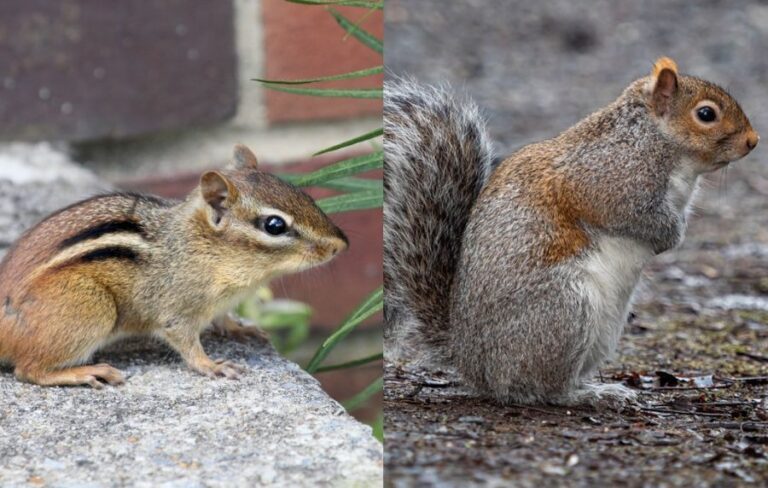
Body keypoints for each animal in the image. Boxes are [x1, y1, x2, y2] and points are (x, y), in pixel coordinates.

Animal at [0, 145, 348, 388]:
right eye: (274, 225)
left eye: (303, 195)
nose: (341, 243)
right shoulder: (177, 309)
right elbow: (187, 344)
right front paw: (212, 366)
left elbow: (223, 318)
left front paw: (241, 328)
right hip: (92, 308)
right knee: (28, 370)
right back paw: (86, 372)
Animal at [384, 57, 759, 407]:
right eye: (706, 114)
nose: (753, 141)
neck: (652, 138)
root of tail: (473, 363)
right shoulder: (610, 181)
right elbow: (638, 218)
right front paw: (670, 237)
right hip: (564, 311)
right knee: (541, 388)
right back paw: (593, 395)